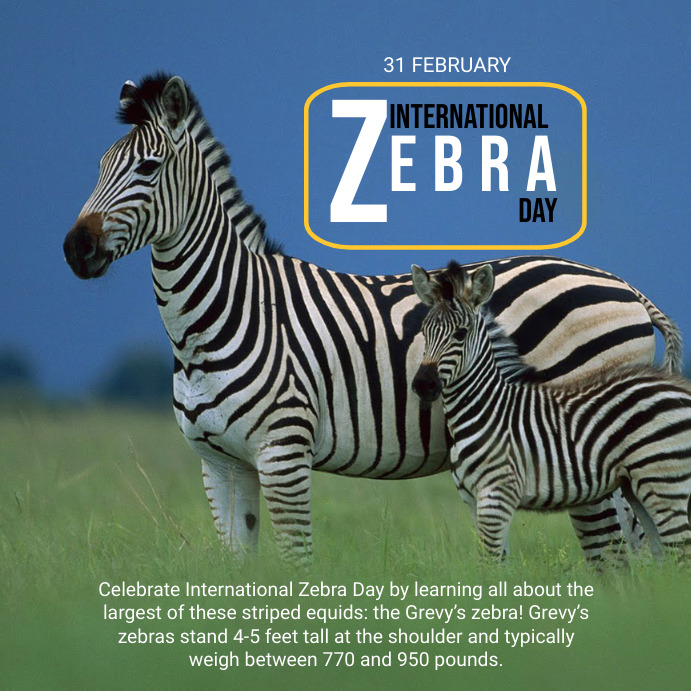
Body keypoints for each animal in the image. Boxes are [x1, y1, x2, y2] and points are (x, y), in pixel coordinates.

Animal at [411, 261, 691, 561]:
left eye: (460, 334)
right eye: (423, 332)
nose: (423, 384)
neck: (486, 408)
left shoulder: (497, 494)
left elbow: (489, 565)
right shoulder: (473, 499)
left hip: (663, 480)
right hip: (639, 485)